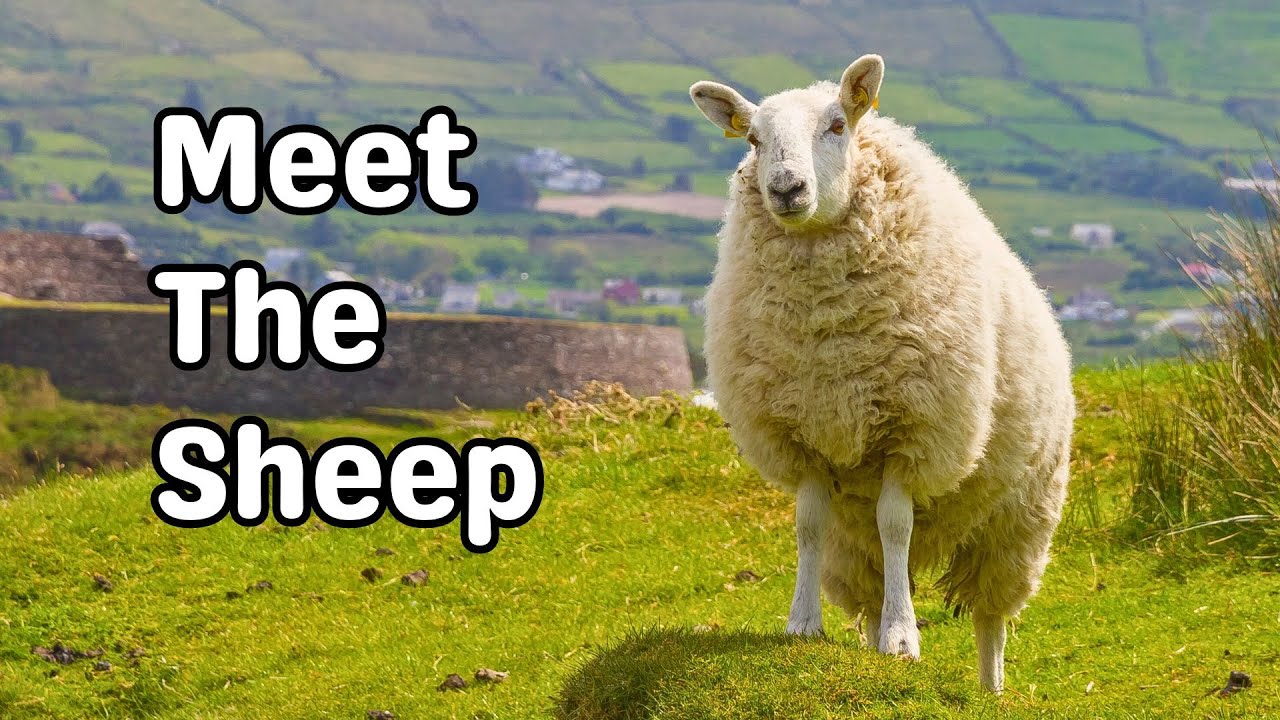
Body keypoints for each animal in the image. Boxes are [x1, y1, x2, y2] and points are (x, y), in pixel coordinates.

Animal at [688, 54, 1074, 693]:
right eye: (752, 139)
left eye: (838, 125)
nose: (786, 189)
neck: (827, 332)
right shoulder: (802, 436)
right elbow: (807, 527)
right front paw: (803, 626)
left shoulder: (913, 433)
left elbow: (896, 524)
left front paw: (903, 638)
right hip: (856, 544)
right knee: (870, 577)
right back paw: (870, 645)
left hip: (1018, 516)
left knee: (989, 616)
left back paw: (989, 687)